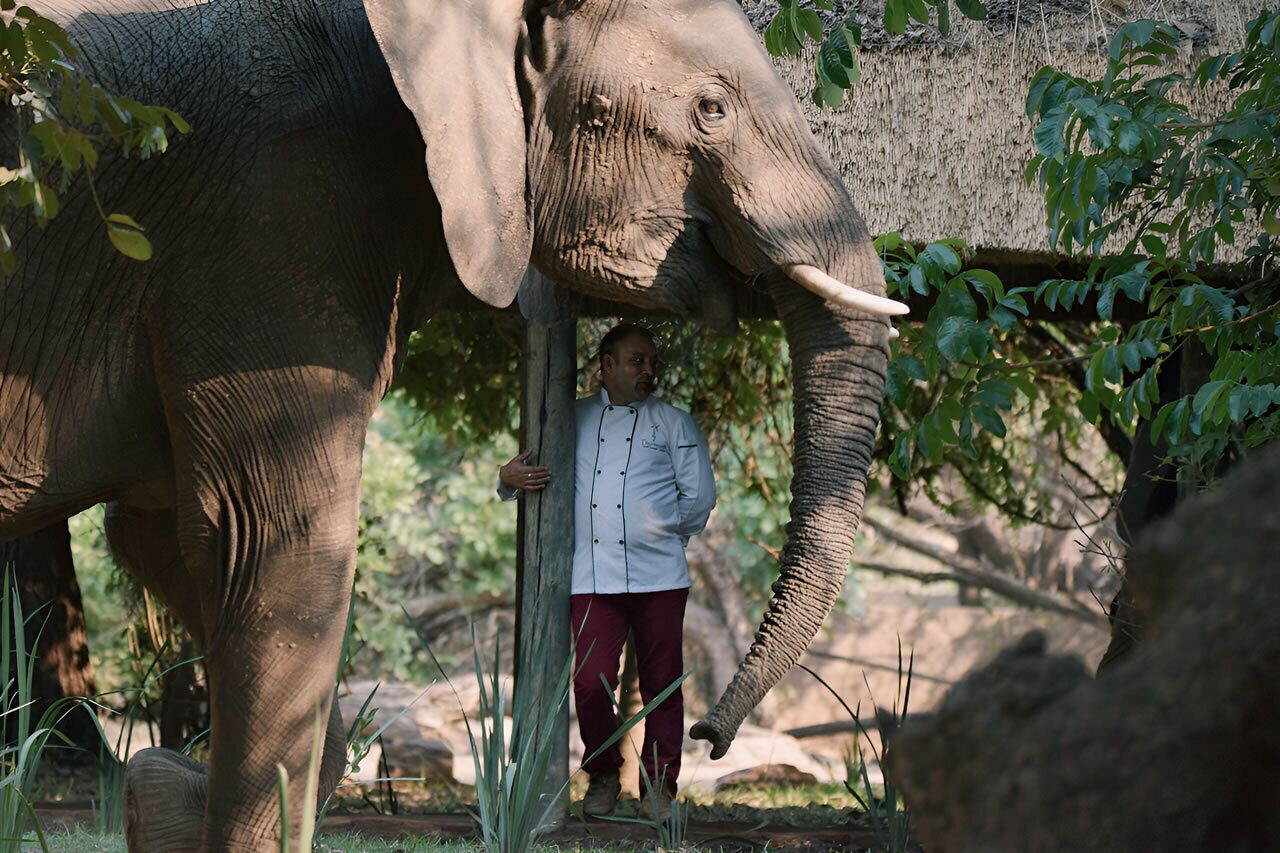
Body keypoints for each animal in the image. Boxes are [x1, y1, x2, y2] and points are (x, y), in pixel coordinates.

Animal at [0, 0, 906, 848]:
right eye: (712, 109)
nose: (714, 736)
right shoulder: (268, 219)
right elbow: (270, 544)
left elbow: (155, 534)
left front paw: (161, 799)